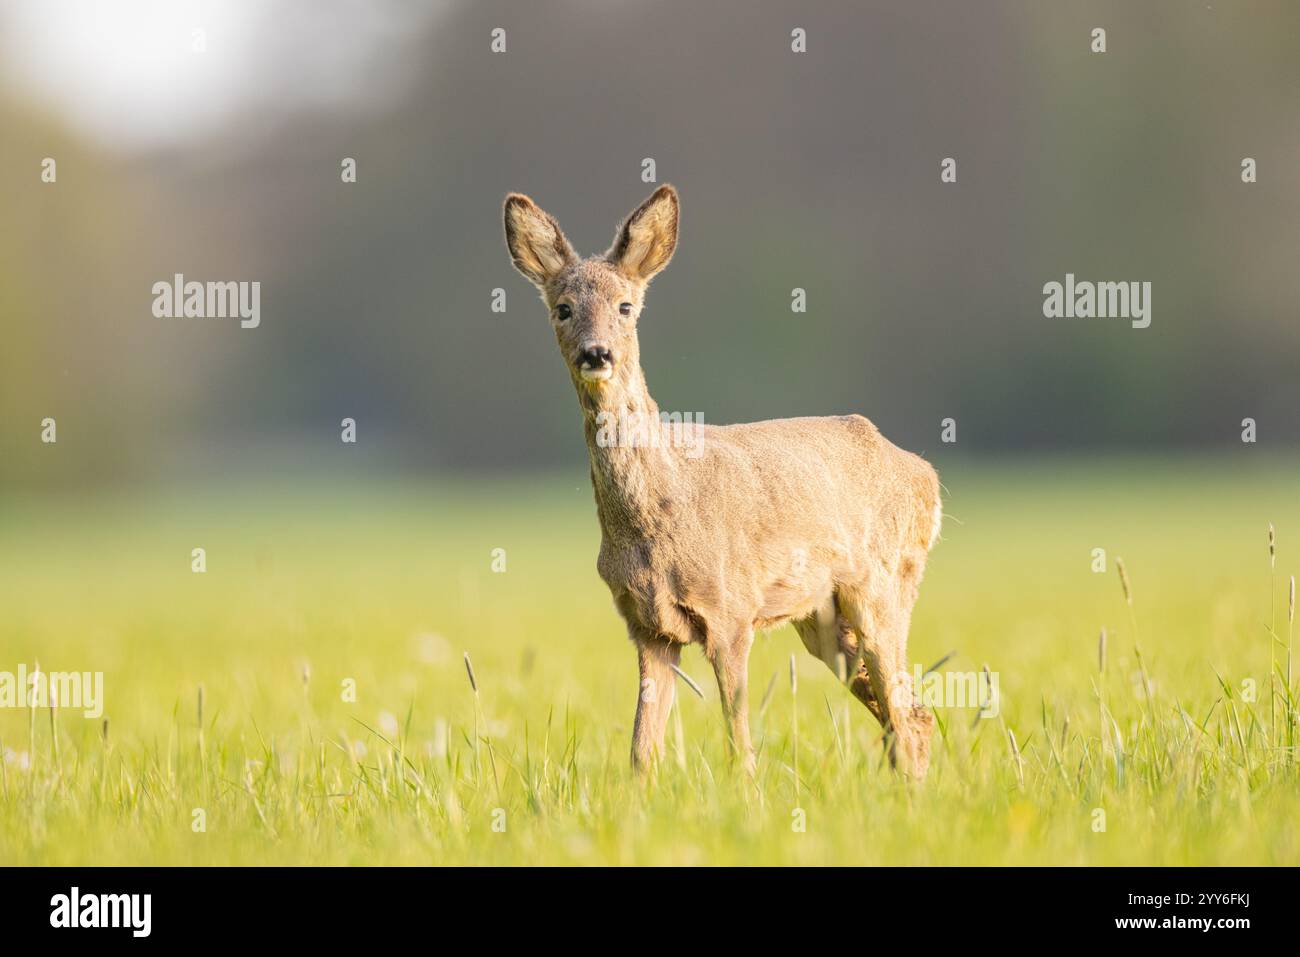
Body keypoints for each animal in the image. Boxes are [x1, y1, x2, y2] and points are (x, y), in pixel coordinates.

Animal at [502, 185, 942, 779]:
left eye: (625, 306)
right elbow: (642, 748)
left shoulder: (731, 609)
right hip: (822, 617)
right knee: (908, 714)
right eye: (563, 308)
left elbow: (738, 736)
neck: (657, 515)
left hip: (885, 583)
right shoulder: (647, 626)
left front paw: (748, 794)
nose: (597, 353)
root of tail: (926, 475)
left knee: (904, 707)